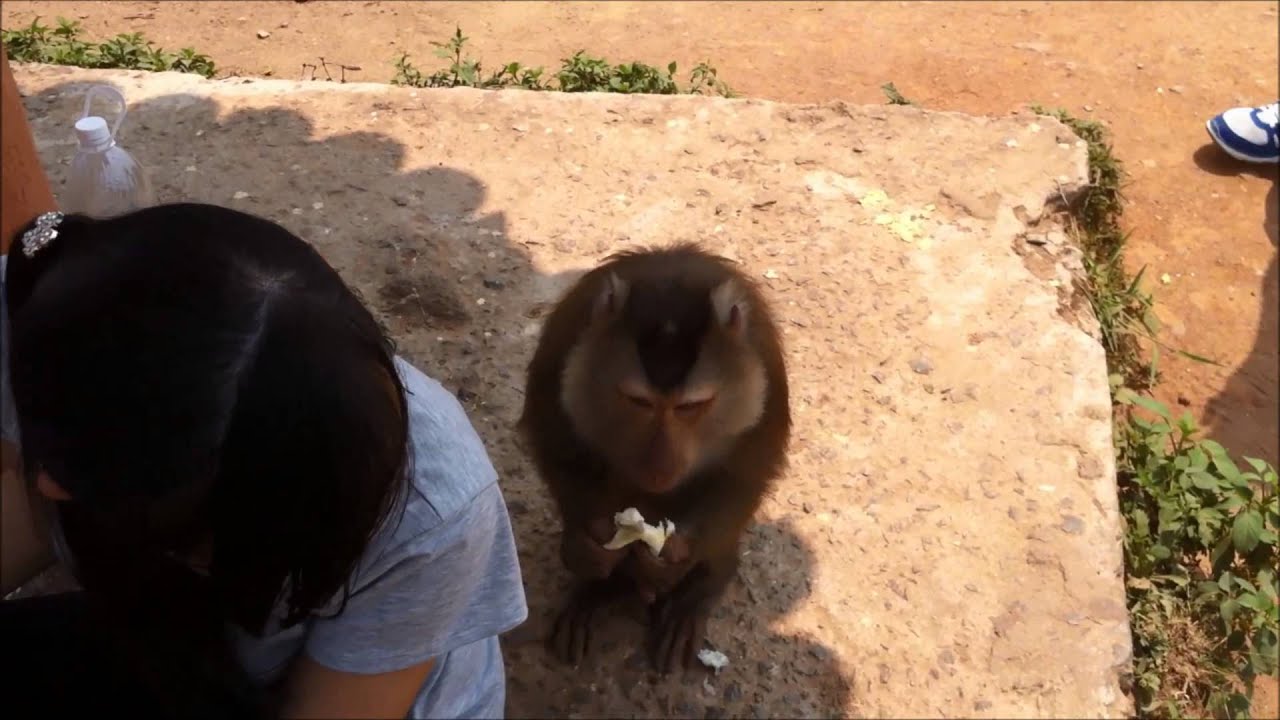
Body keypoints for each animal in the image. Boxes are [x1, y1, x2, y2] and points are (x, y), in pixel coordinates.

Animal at [517, 243, 790, 673]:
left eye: (690, 406)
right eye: (639, 402)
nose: (660, 468)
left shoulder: (763, 364)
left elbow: (748, 474)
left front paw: (675, 557)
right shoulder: (565, 341)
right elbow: (556, 444)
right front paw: (587, 543)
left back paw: (693, 592)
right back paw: (596, 590)